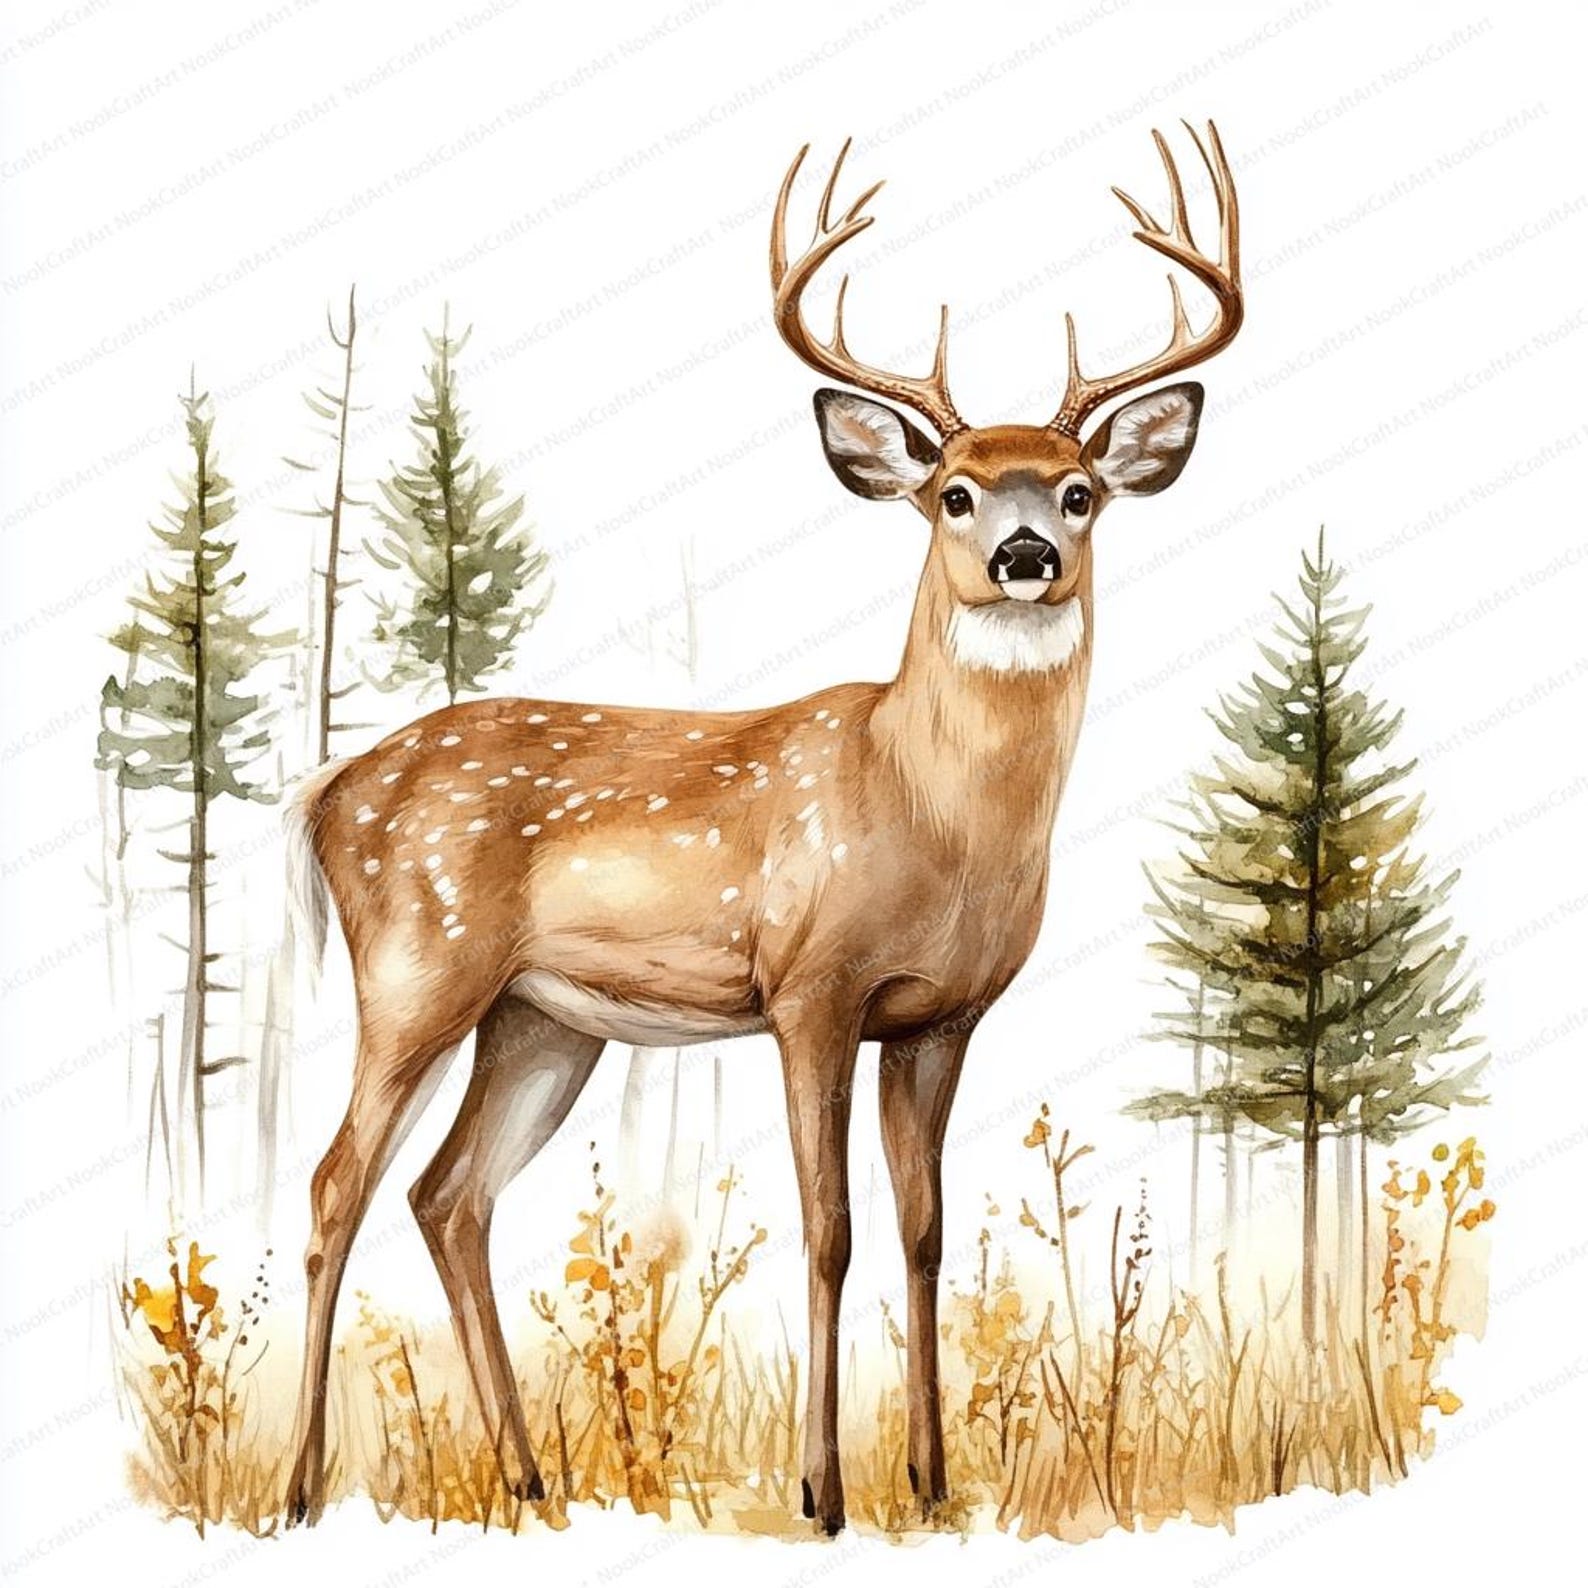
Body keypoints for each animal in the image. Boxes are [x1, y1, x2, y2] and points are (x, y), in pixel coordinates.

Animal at [283, 121, 1244, 1534]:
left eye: (1078, 493)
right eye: (953, 494)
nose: (1021, 555)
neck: (928, 809)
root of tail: (324, 793)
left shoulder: (941, 1016)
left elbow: (922, 1231)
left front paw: (933, 1483)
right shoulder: (810, 983)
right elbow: (829, 1227)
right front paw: (821, 1490)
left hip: (541, 1017)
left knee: (447, 1194)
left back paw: (528, 1478)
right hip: (418, 966)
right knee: (337, 1180)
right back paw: (300, 1488)